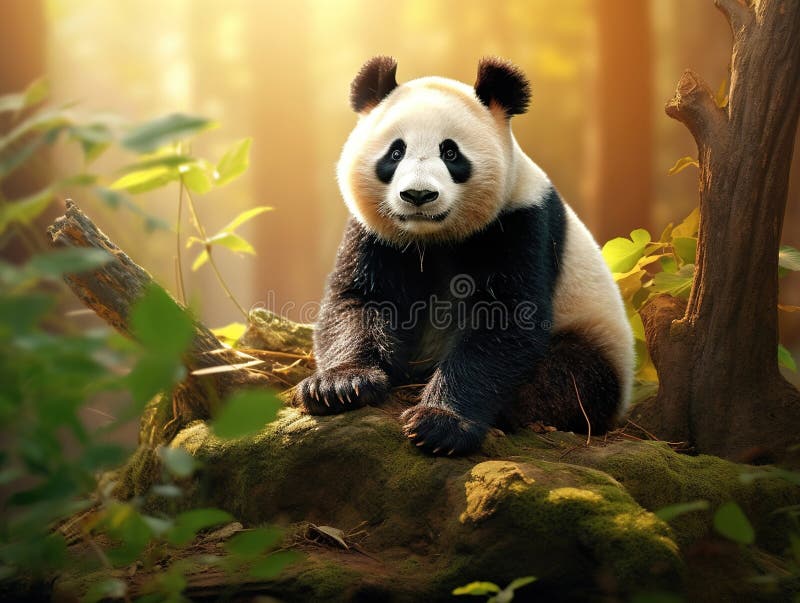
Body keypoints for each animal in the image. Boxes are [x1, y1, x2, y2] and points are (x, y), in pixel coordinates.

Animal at [294, 56, 634, 455]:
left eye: (450, 152)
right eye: (395, 152)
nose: (418, 195)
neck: (432, 238)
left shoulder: (518, 222)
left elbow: (504, 319)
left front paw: (440, 423)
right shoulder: (375, 233)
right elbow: (360, 299)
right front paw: (339, 386)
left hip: (597, 339)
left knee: (568, 377)